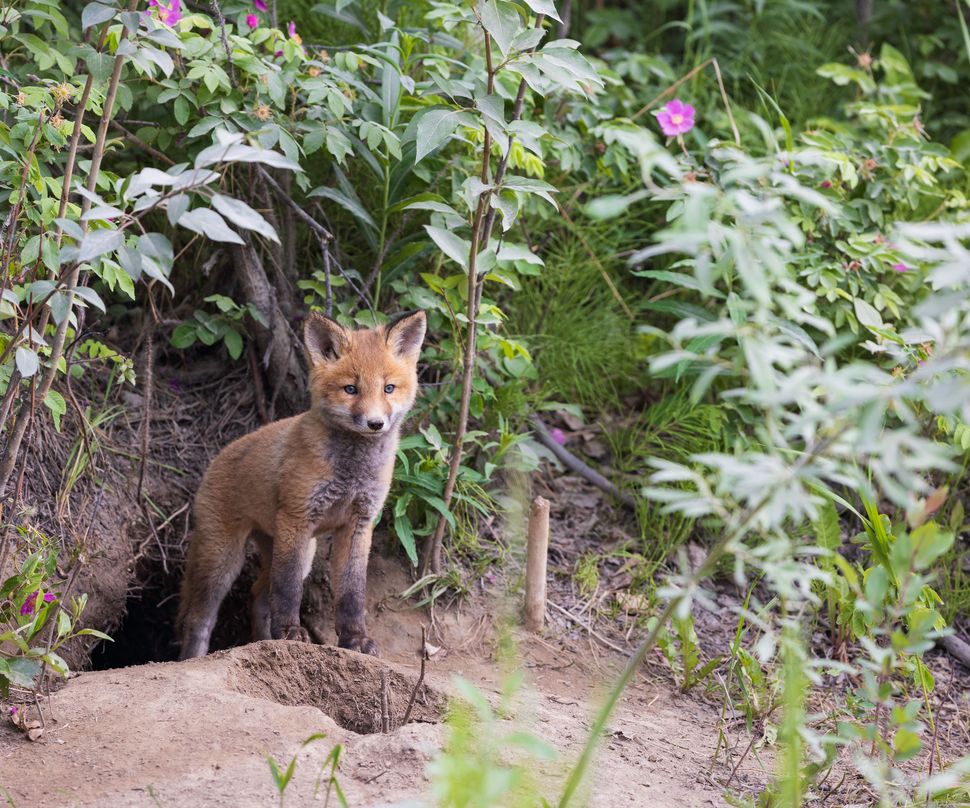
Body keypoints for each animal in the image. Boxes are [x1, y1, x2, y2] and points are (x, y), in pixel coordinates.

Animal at [177, 309, 426, 660]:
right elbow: (288, 590)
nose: (375, 423)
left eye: (389, 388)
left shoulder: (358, 523)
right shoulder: (297, 516)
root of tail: (218, 456)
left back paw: (264, 641)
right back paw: (196, 656)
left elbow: (351, 593)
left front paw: (355, 639)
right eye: (351, 389)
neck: (351, 472)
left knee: (258, 596)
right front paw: (291, 633)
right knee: (200, 618)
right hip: (224, 559)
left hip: (299, 550)